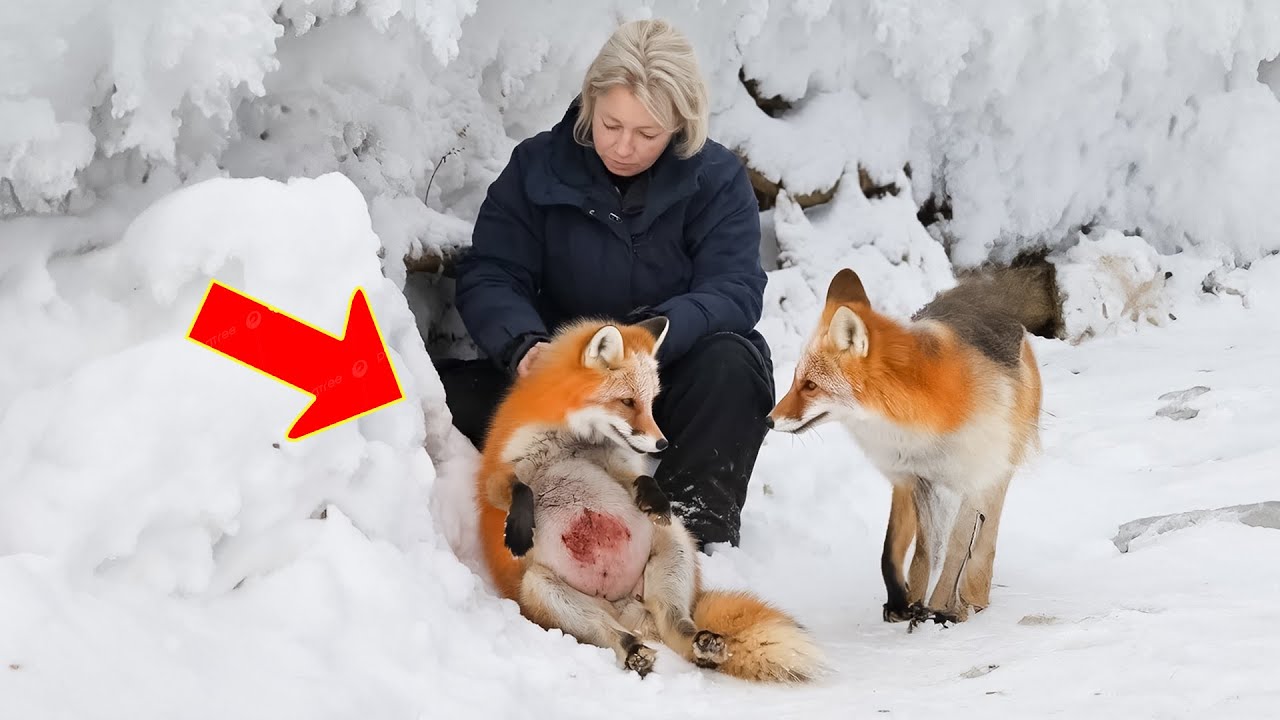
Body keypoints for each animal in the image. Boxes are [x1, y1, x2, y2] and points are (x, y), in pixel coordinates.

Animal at [475, 316, 824, 682]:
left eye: (650, 401)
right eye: (628, 402)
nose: (662, 444)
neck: (576, 439)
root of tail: (623, 604)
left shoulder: (618, 462)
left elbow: (640, 477)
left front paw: (654, 499)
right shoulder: (498, 472)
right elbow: (520, 490)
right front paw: (517, 530)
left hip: (674, 548)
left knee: (677, 627)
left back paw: (702, 643)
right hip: (542, 588)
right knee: (611, 632)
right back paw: (635, 652)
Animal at [766, 265, 1046, 627]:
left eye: (811, 386)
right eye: (796, 380)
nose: (768, 420)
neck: (917, 424)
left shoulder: (974, 477)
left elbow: (957, 550)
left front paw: (942, 609)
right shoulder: (910, 478)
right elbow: (904, 552)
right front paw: (906, 602)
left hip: (997, 474)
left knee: (982, 543)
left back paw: (972, 598)